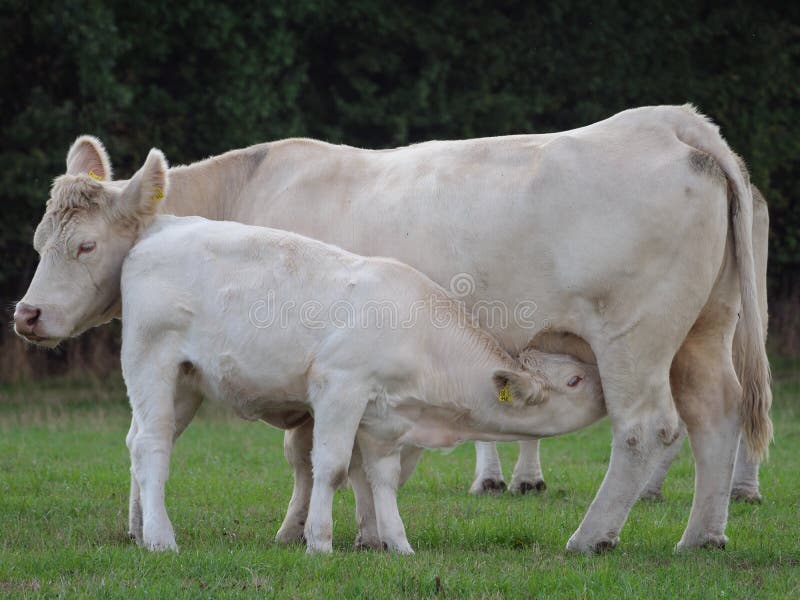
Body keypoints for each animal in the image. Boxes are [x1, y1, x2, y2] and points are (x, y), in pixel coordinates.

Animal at [15, 104, 771, 552]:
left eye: (84, 246)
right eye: (37, 241)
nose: (27, 315)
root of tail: (673, 122)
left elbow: (312, 454)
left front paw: (311, 530)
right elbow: (344, 455)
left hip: (633, 338)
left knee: (647, 428)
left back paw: (592, 535)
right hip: (703, 333)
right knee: (715, 415)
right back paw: (702, 536)